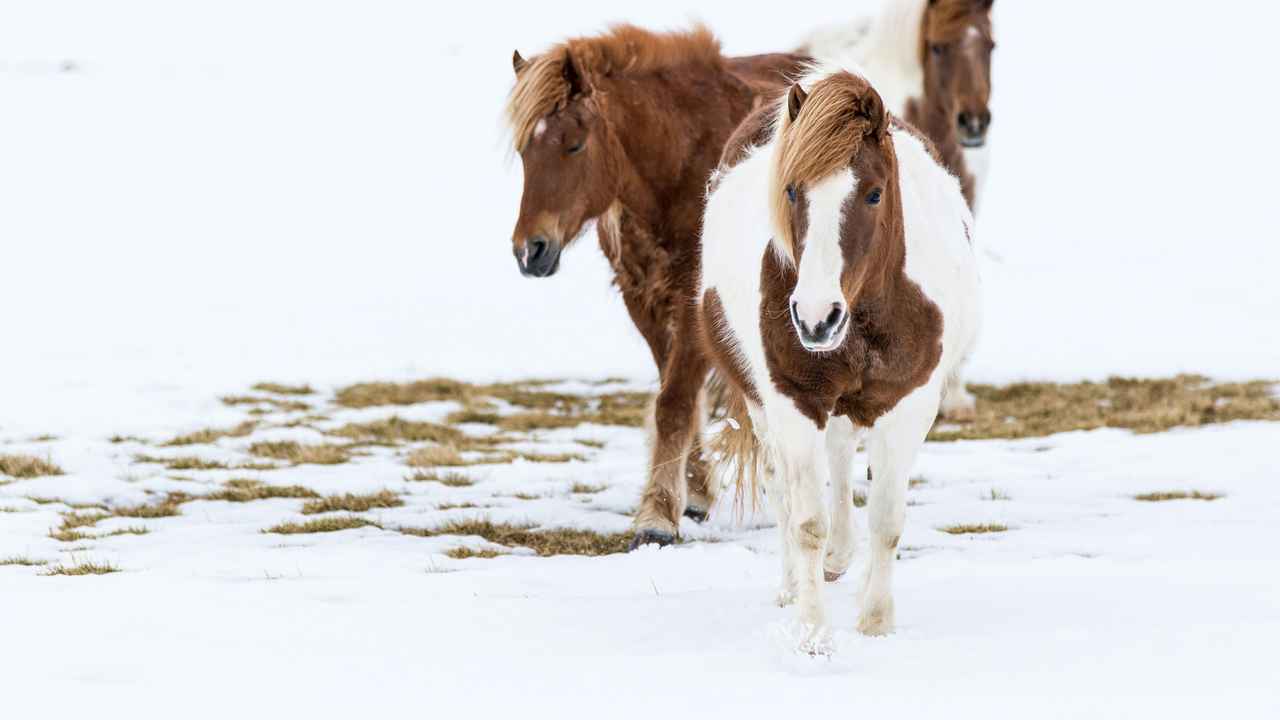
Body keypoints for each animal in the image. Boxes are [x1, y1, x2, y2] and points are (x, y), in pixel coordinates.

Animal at [505, 25, 807, 549]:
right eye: (525, 150)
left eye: (574, 145)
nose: (530, 250)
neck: (680, 163)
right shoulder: (642, 299)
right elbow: (681, 395)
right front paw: (693, 494)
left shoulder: (692, 302)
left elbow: (674, 401)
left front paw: (656, 520)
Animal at [697, 66, 981, 652]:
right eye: (791, 190)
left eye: (874, 193)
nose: (814, 318)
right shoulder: (793, 402)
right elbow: (805, 521)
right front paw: (811, 633)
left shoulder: (909, 406)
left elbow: (887, 520)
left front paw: (876, 621)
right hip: (764, 408)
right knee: (784, 489)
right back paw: (797, 582)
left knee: (845, 459)